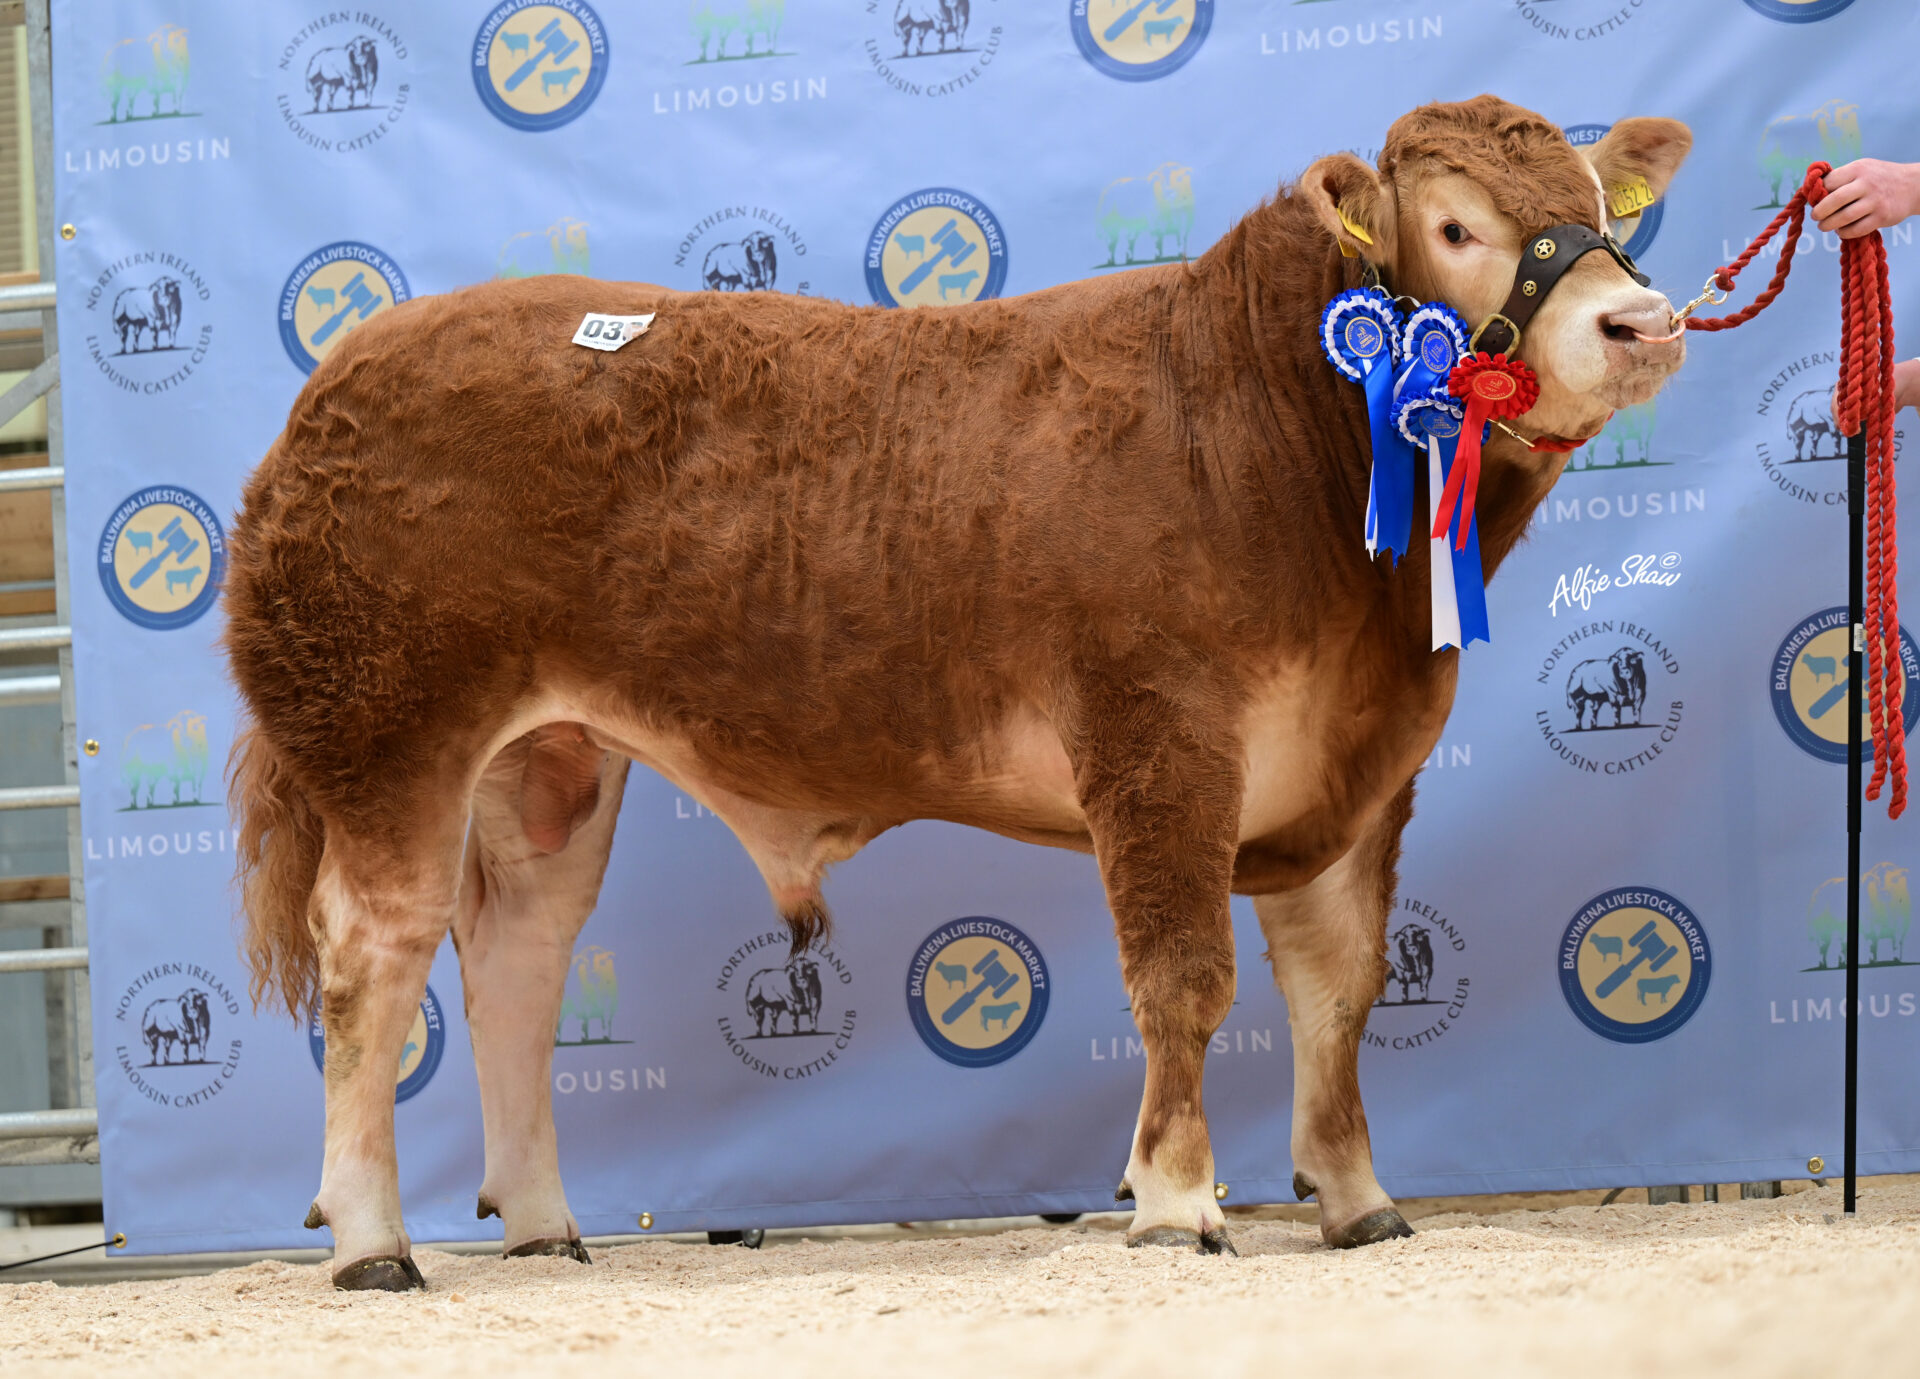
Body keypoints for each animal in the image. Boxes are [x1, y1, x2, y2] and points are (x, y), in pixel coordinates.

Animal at [224, 97, 1691, 1288]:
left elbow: (1338, 991)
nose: (1640, 321)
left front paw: (1358, 1202)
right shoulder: (1159, 736)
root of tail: (347, 369)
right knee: (371, 962)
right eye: (1454, 223)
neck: (1275, 443)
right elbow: (1184, 975)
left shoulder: (1362, 768)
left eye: (1605, 207)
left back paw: (540, 1225)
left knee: (514, 962)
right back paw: (372, 1242)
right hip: (386, 735)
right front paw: (1178, 1204)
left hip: (550, 758)